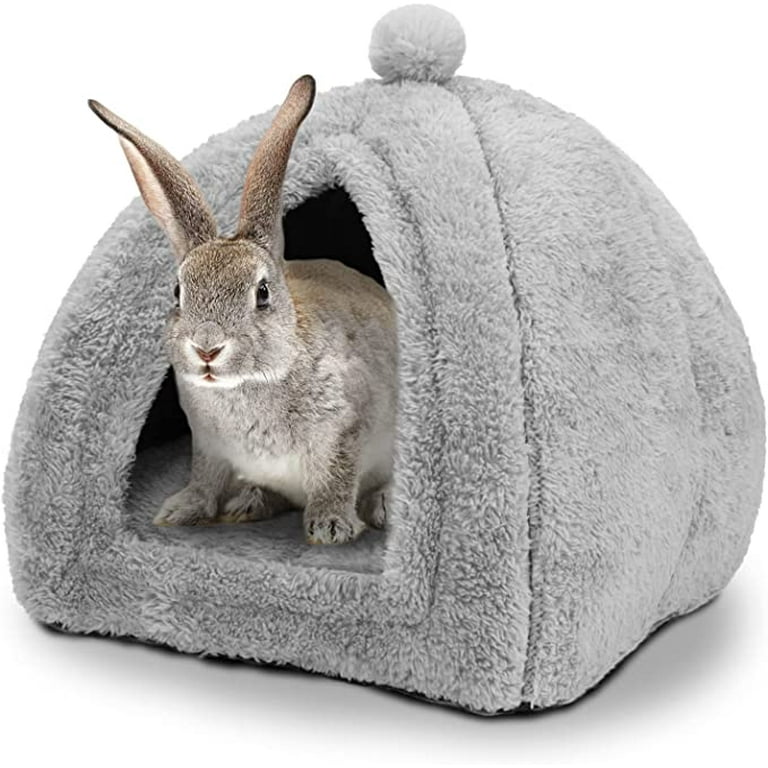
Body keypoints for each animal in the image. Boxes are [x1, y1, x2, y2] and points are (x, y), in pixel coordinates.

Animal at [89, 75, 398, 545]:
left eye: (263, 293)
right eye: (178, 291)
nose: (207, 348)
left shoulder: (345, 429)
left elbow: (336, 478)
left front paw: (331, 528)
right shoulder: (209, 446)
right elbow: (204, 480)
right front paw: (179, 512)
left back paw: (381, 508)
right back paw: (248, 503)